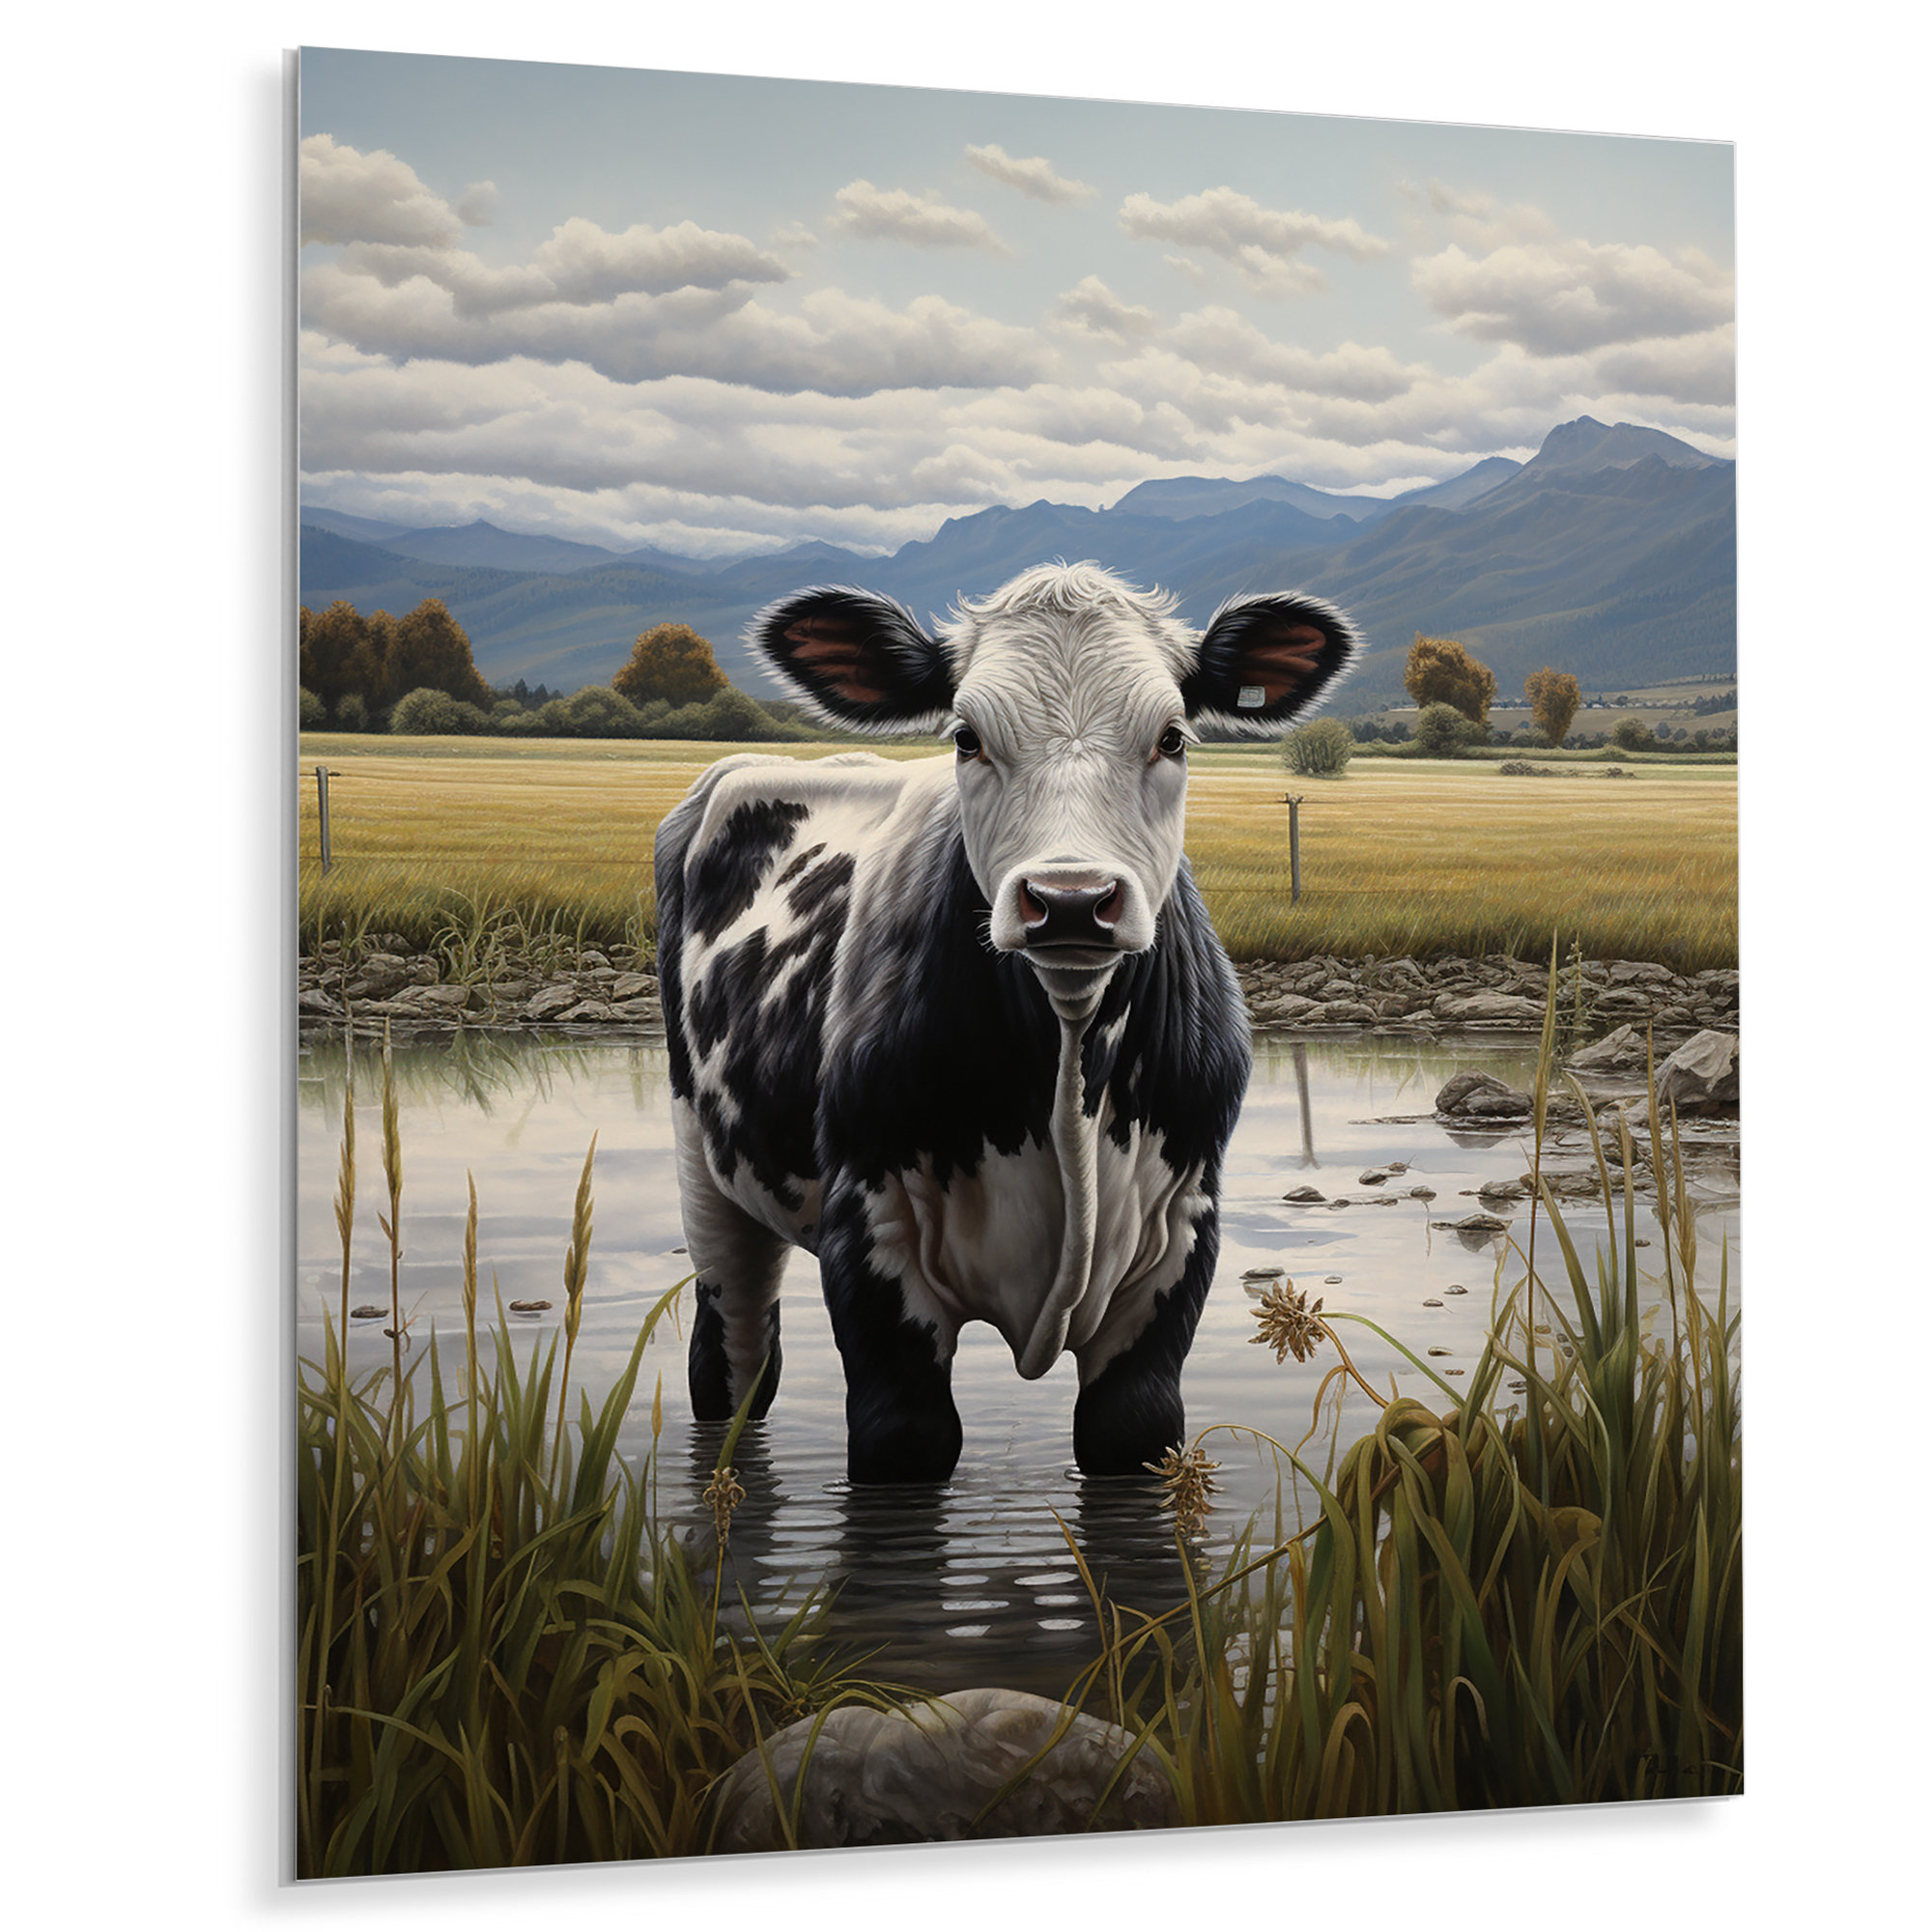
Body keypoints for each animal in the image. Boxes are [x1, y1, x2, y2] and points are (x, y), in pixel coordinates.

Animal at [654, 561, 1358, 1483]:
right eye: (965, 737)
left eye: (1172, 737)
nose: (1071, 899)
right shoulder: (869, 1233)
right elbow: (904, 1438)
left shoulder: (1179, 1233)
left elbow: (1132, 1429)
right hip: (704, 1170)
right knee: (732, 1365)